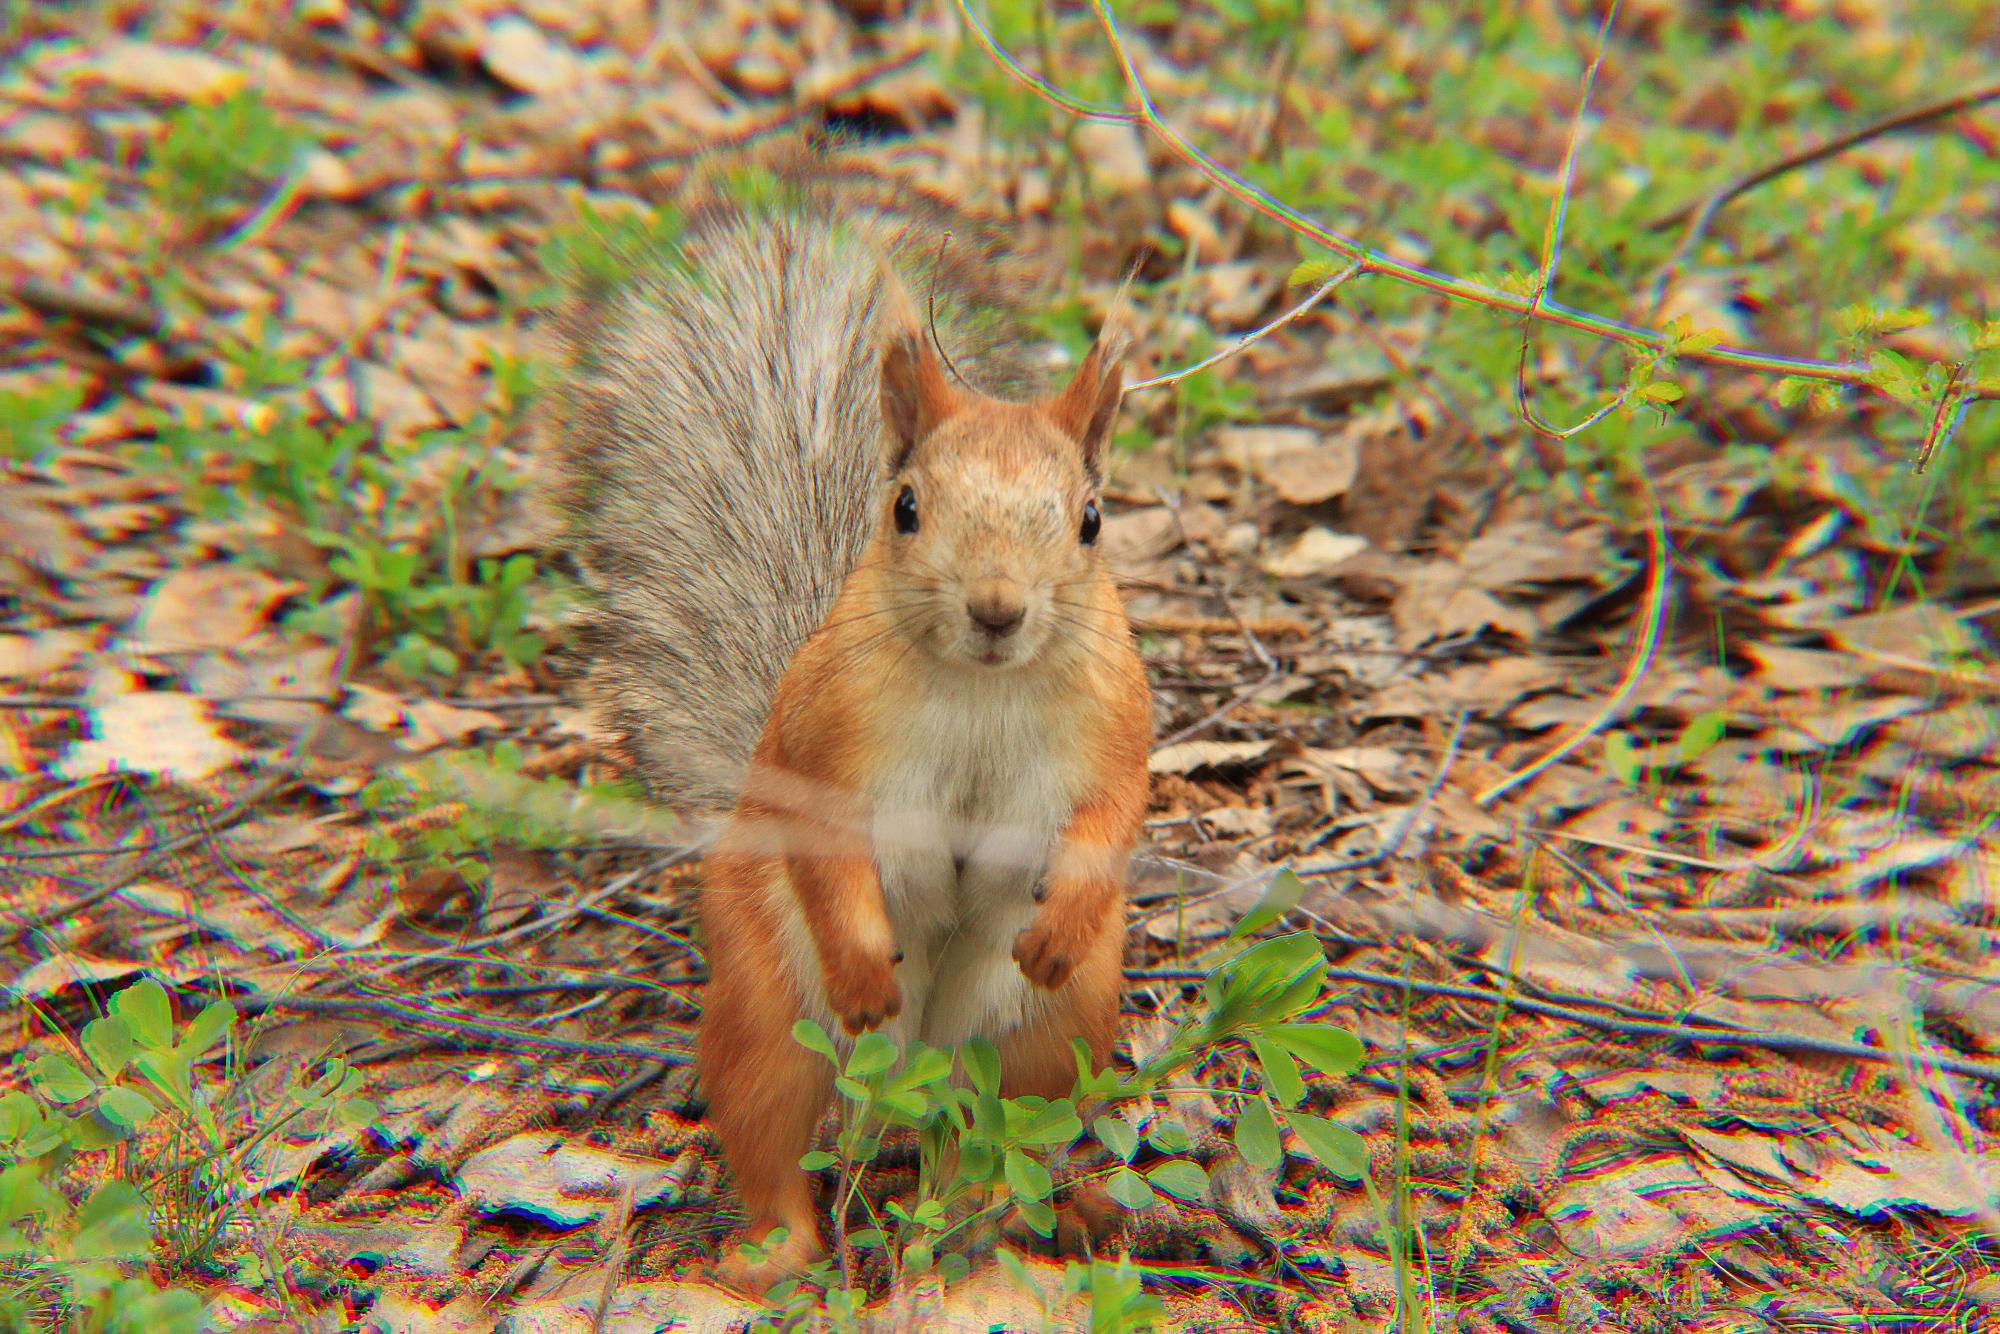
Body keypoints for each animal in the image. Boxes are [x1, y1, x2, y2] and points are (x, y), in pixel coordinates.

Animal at [540, 167, 1151, 1291]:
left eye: (1090, 519)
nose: (996, 608)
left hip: (1048, 1036)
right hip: (770, 1005)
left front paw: (1061, 921)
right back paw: (774, 1249)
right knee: (772, 1134)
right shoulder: (819, 738)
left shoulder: (1117, 729)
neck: (980, 685)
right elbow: (827, 848)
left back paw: (965, 1226)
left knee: (987, 1139)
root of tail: (910, 1065)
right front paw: (866, 965)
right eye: (904, 506)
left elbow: (1112, 816)